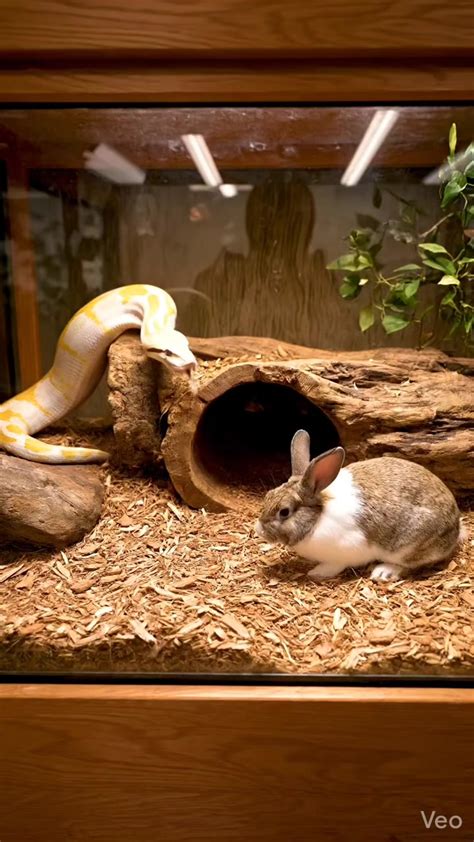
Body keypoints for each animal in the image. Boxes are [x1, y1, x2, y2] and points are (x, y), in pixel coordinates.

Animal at [255, 429, 462, 582]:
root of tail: (456, 528)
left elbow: (333, 566)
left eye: (284, 512)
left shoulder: (344, 554)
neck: (317, 516)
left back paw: (383, 572)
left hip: (408, 547)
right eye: (268, 495)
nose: (259, 530)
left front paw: (316, 572)